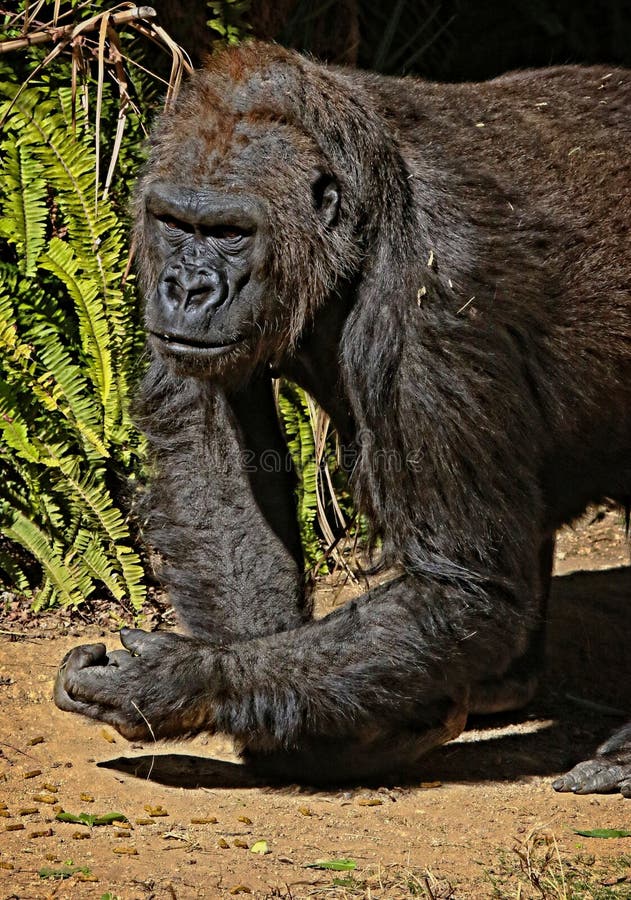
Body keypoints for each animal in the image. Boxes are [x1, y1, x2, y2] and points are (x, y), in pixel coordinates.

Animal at [54, 43, 631, 795]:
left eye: (230, 233)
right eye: (176, 224)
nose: (186, 289)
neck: (361, 221)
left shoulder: (433, 302)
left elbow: (460, 588)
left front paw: (190, 682)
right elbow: (214, 456)